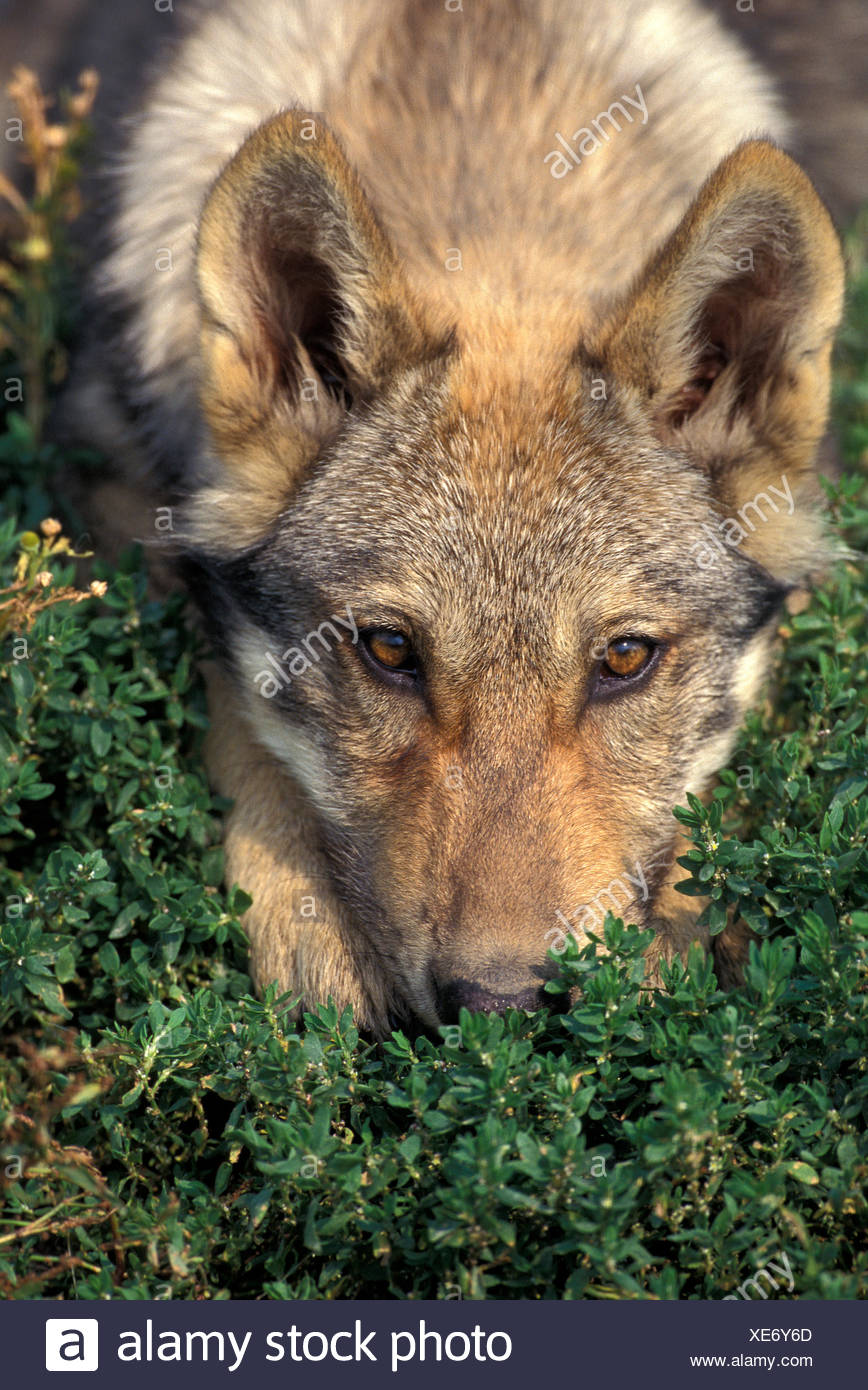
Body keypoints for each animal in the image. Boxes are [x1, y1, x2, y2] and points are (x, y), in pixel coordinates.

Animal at [62, 0, 844, 1034]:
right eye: (390, 650)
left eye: (624, 660)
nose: (500, 1005)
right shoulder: (108, 482)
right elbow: (232, 702)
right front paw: (301, 909)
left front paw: (682, 919)